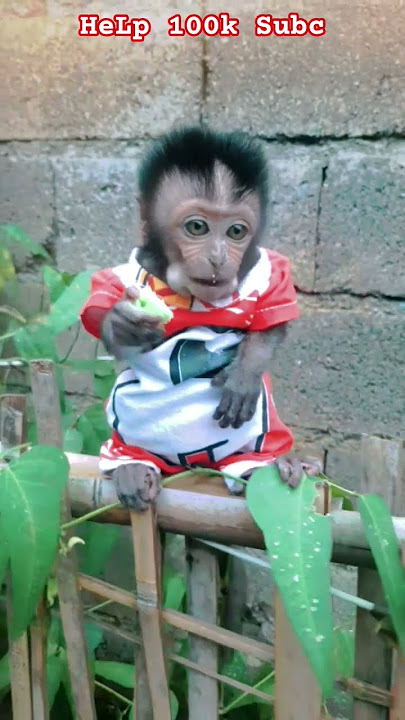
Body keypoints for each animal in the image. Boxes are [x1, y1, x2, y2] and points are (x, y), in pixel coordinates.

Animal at [80, 127, 322, 511]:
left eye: (236, 232)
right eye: (197, 227)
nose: (219, 258)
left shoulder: (267, 267)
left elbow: (270, 326)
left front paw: (242, 376)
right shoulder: (119, 276)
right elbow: (106, 320)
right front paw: (122, 323)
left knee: (255, 455)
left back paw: (276, 463)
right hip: (125, 436)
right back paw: (131, 466)